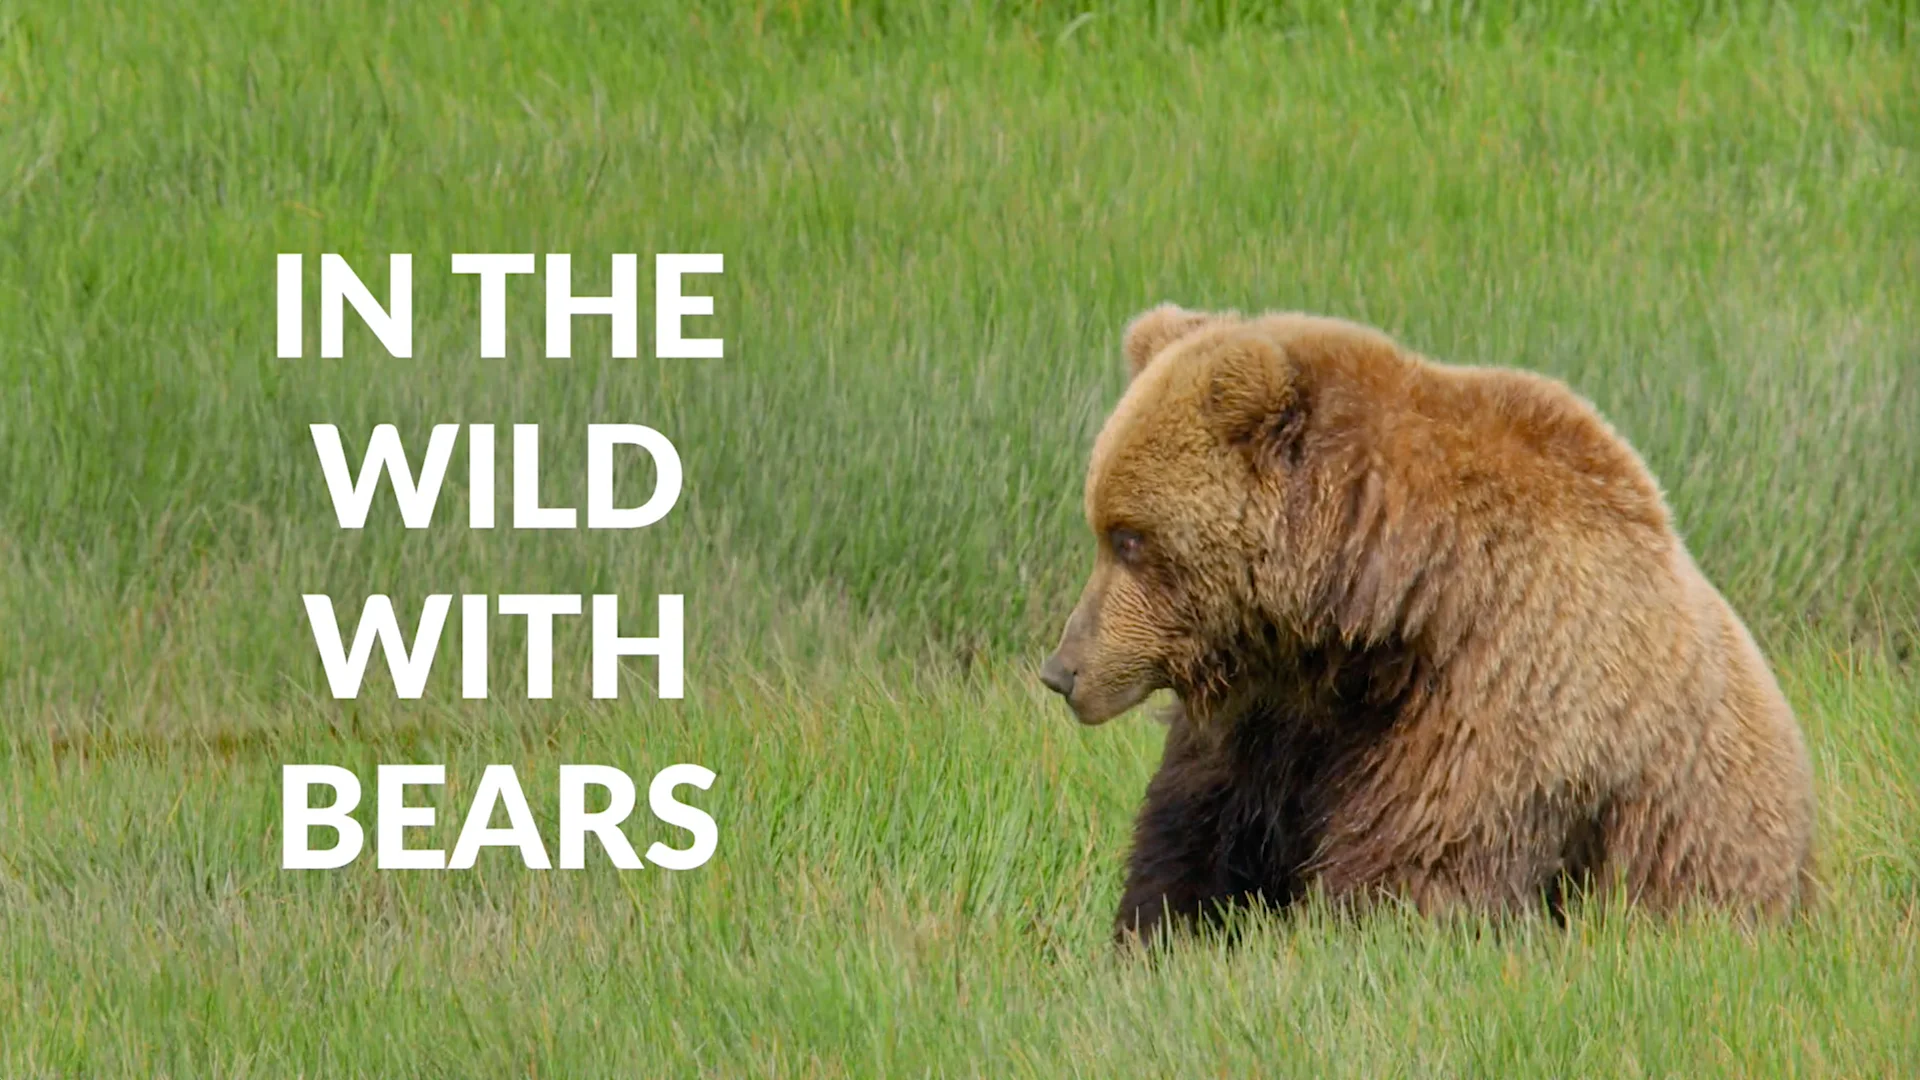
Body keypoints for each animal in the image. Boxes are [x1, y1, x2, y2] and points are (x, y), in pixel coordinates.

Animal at [1038, 304, 1817, 944]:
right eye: (1103, 526)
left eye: (1128, 538)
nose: (1061, 671)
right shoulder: (1268, 708)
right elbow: (1197, 835)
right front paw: (1159, 937)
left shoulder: (1493, 691)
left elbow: (1417, 864)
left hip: (1707, 850)